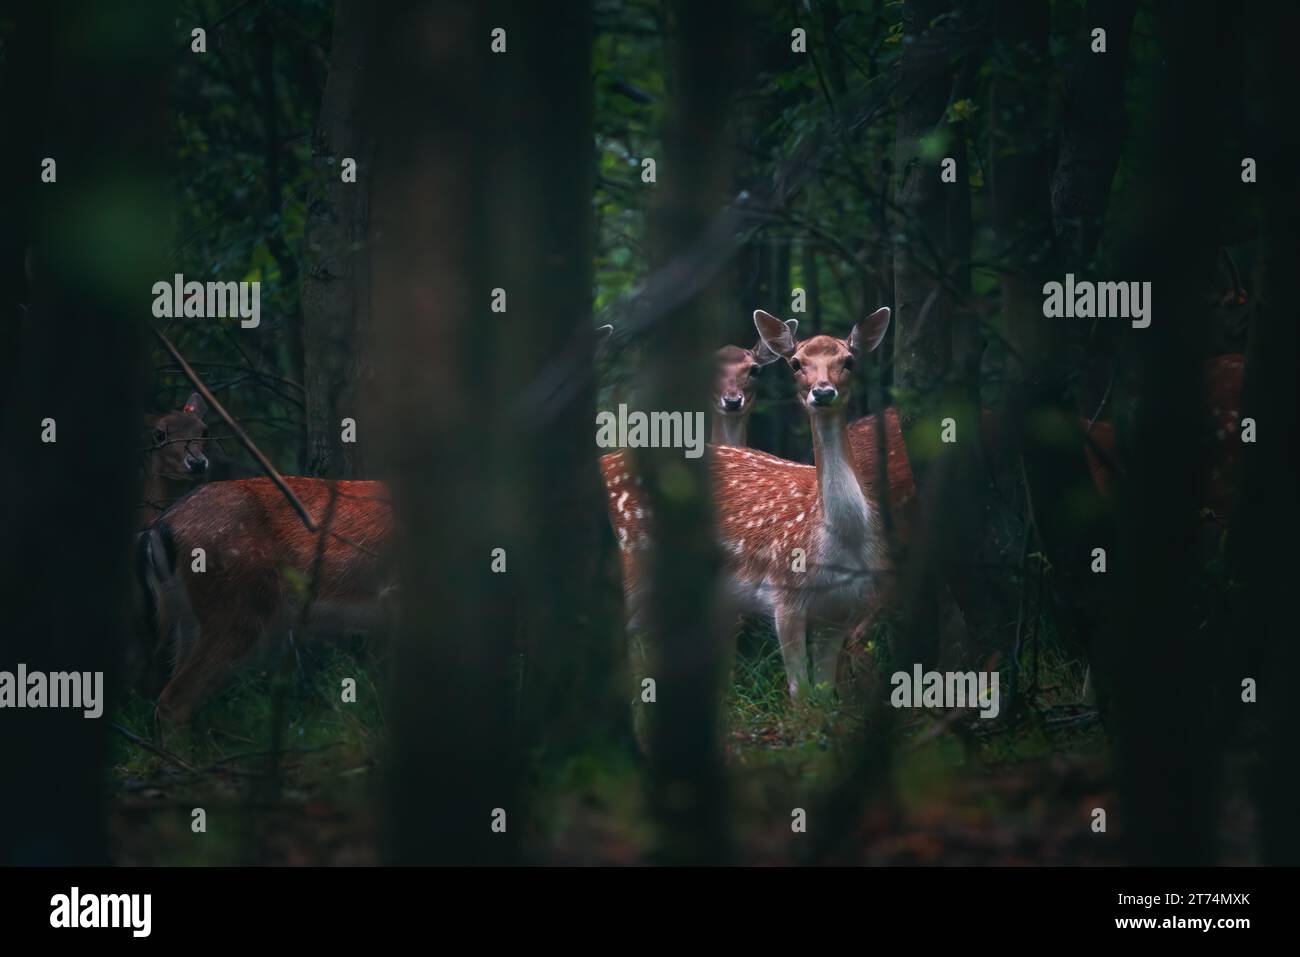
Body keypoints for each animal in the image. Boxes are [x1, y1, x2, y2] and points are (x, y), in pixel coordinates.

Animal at [603, 307, 893, 698]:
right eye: (796, 363)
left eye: (849, 360)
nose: (822, 392)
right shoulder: (784, 595)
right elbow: (799, 694)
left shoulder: (840, 611)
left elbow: (822, 695)